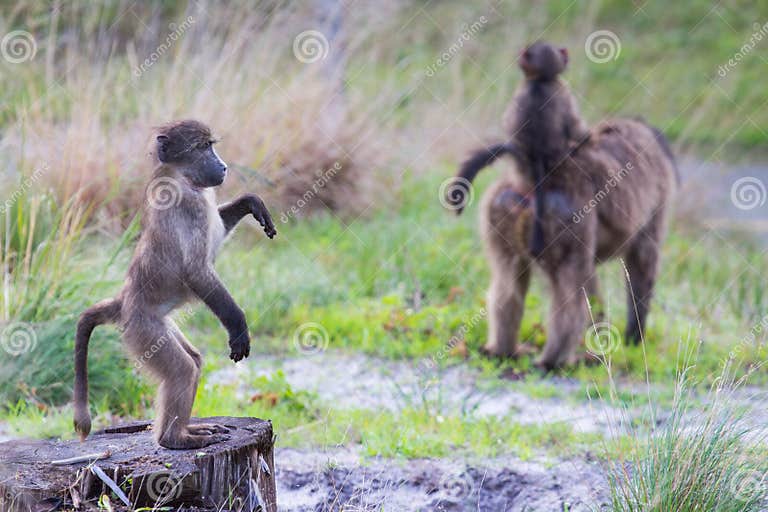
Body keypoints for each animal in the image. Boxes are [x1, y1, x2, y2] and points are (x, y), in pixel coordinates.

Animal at [73, 120, 277, 449]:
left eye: (211, 145)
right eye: (203, 147)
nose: (223, 167)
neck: (181, 176)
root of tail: (124, 301)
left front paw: (251, 203)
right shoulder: (190, 207)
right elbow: (196, 270)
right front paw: (238, 328)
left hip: (158, 325)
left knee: (192, 360)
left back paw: (188, 430)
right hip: (143, 330)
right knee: (182, 370)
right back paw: (175, 439)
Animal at [446, 44, 678, 370]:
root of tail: (531, 181)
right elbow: (642, 267)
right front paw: (633, 340)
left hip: (503, 207)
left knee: (509, 282)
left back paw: (504, 351)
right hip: (565, 218)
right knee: (570, 295)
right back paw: (554, 361)